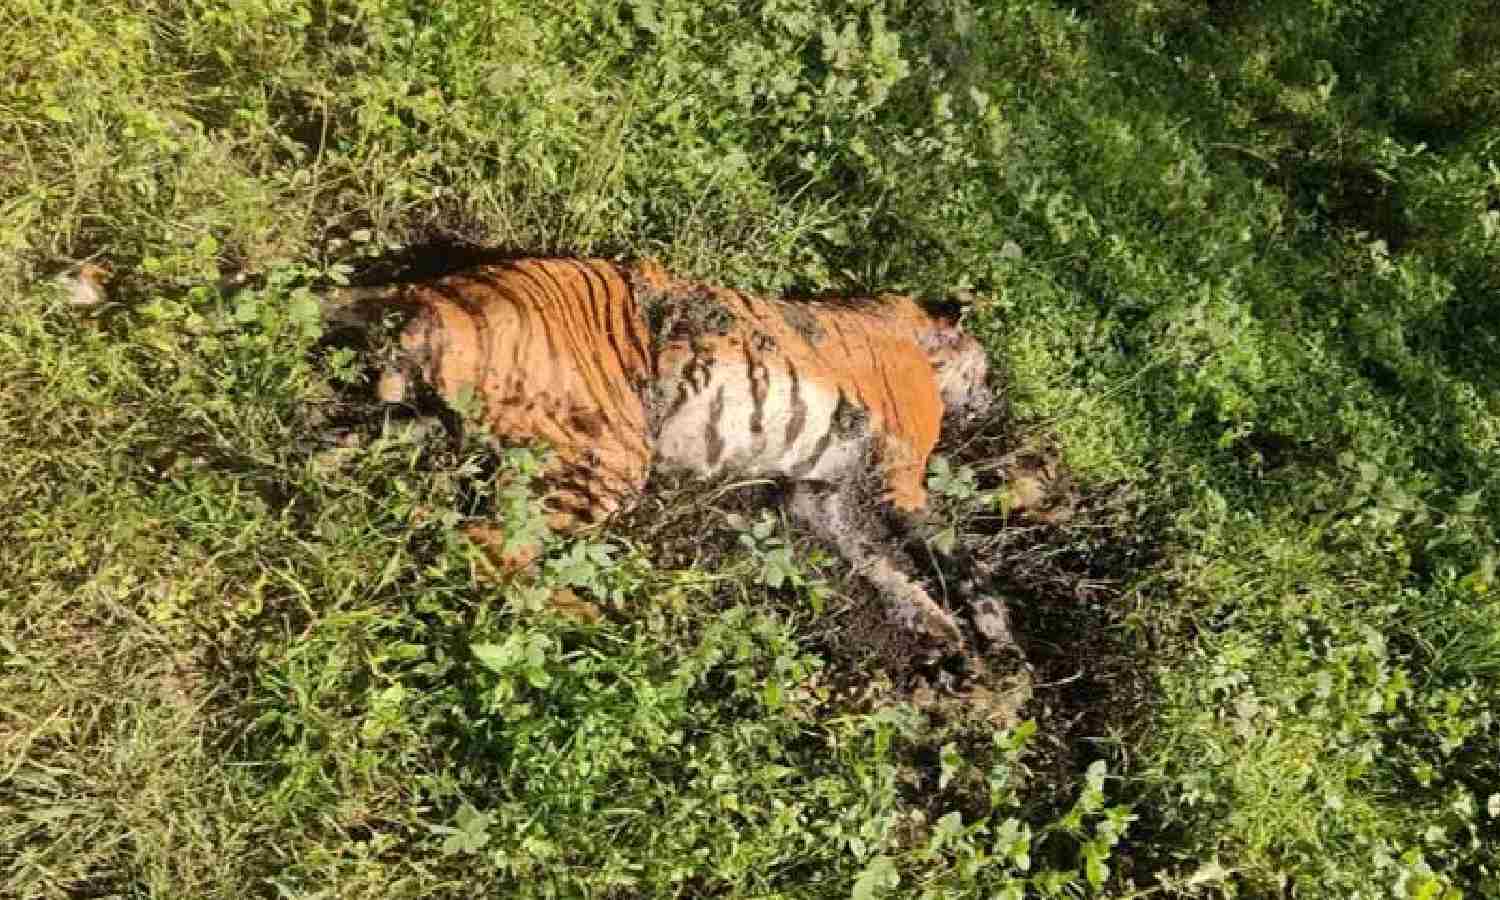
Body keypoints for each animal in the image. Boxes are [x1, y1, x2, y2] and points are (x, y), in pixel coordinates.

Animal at [324, 257, 1005, 652]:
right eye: (988, 369)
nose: (993, 400)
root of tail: (429, 295)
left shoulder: (824, 497)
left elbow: (880, 561)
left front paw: (939, 627)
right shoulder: (901, 474)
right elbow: (948, 545)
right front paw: (992, 625)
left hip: (435, 425)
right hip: (610, 461)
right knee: (489, 545)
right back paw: (600, 622)